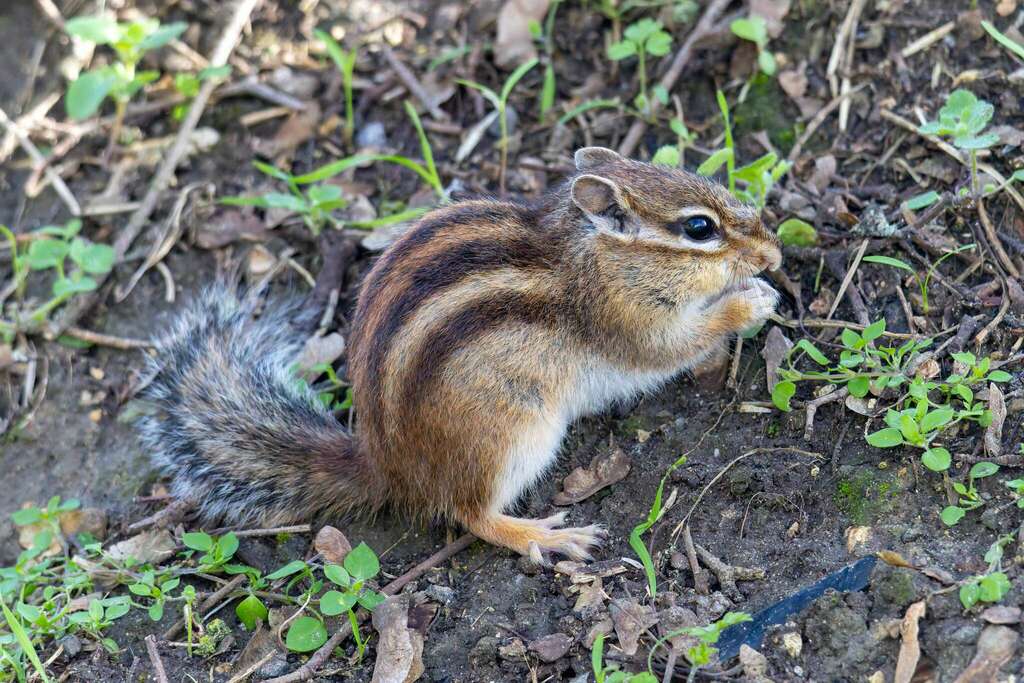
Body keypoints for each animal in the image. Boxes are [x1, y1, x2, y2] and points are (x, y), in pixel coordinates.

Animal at [137, 147, 782, 563]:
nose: (774, 252)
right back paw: (544, 537)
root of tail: (387, 468)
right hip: (511, 435)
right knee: (470, 514)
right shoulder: (629, 322)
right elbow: (674, 346)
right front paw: (750, 302)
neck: (593, 256)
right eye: (699, 228)